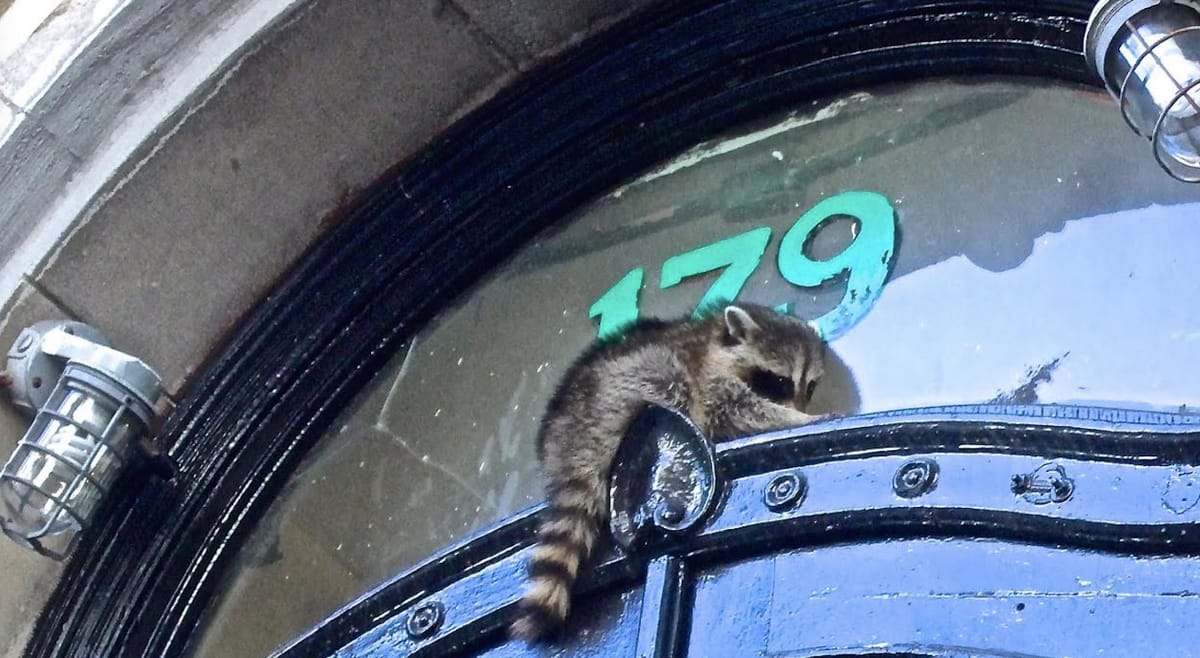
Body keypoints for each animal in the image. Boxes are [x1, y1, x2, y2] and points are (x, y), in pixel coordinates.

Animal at [509, 302, 828, 642]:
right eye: (780, 381)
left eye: (810, 385)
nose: (801, 406)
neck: (713, 336)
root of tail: (567, 440)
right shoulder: (710, 379)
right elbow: (737, 409)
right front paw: (800, 418)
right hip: (623, 389)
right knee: (668, 377)